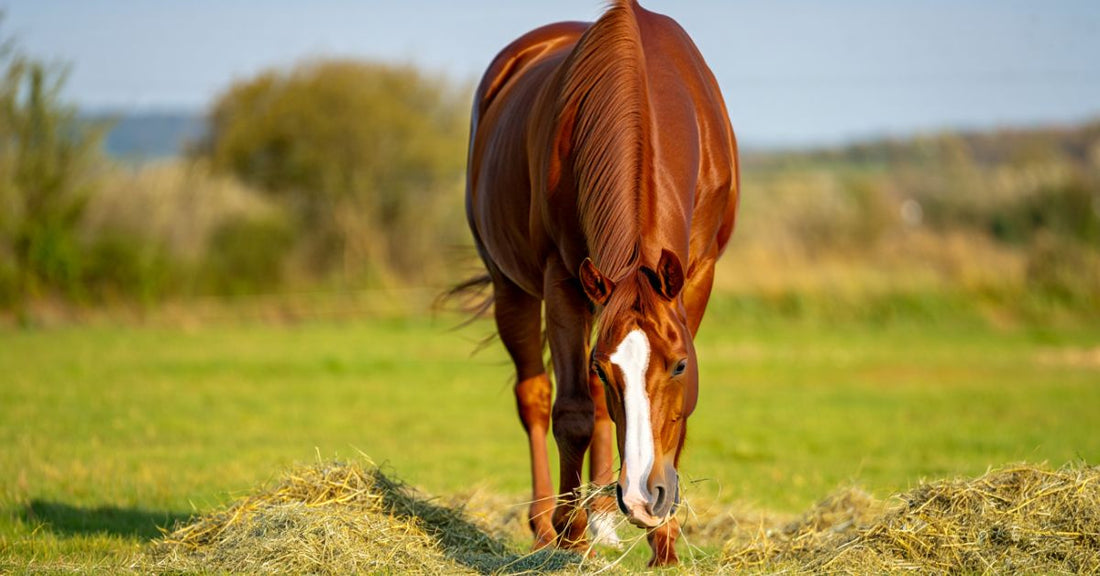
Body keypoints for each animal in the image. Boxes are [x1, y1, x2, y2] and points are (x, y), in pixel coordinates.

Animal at [461, 0, 738, 566]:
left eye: (679, 365)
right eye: (609, 369)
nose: (644, 495)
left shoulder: (697, 275)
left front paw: (664, 543)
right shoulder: (563, 279)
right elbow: (572, 411)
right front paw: (572, 537)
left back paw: (606, 518)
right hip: (511, 289)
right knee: (535, 395)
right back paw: (548, 527)